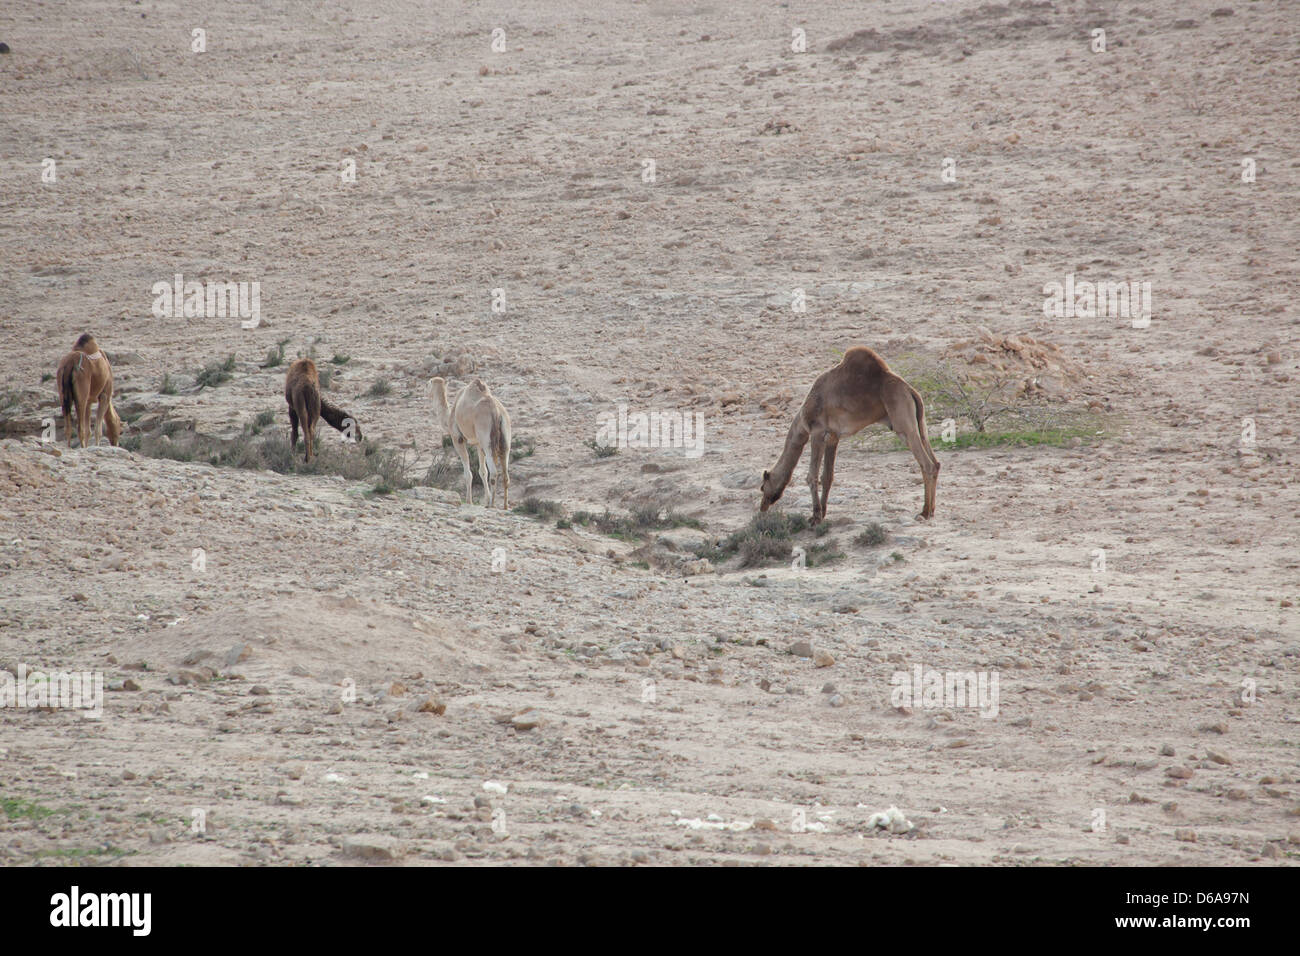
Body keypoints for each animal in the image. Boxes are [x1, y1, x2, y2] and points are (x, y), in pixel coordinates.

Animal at [428, 376, 511, 508]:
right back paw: (505, 506)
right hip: (505, 437)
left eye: (428, 383)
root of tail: (497, 413)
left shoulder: (457, 438)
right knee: (505, 474)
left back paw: (492, 505)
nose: (425, 391)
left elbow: (468, 473)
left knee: (494, 473)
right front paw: (485, 500)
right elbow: (482, 471)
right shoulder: (478, 443)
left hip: (486, 438)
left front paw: (469, 501)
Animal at [760, 346, 940, 522]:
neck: (802, 421)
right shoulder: (833, 437)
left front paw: (815, 517)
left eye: (762, 487)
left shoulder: (817, 432)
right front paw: (823, 513)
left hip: (903, 421)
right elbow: (827, 476)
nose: (762, 507)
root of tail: (910, 390)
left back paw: (924, 513)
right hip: (919, 422)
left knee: (927, 464)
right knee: (935, 461)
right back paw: (931, 510)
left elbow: (812, 476)